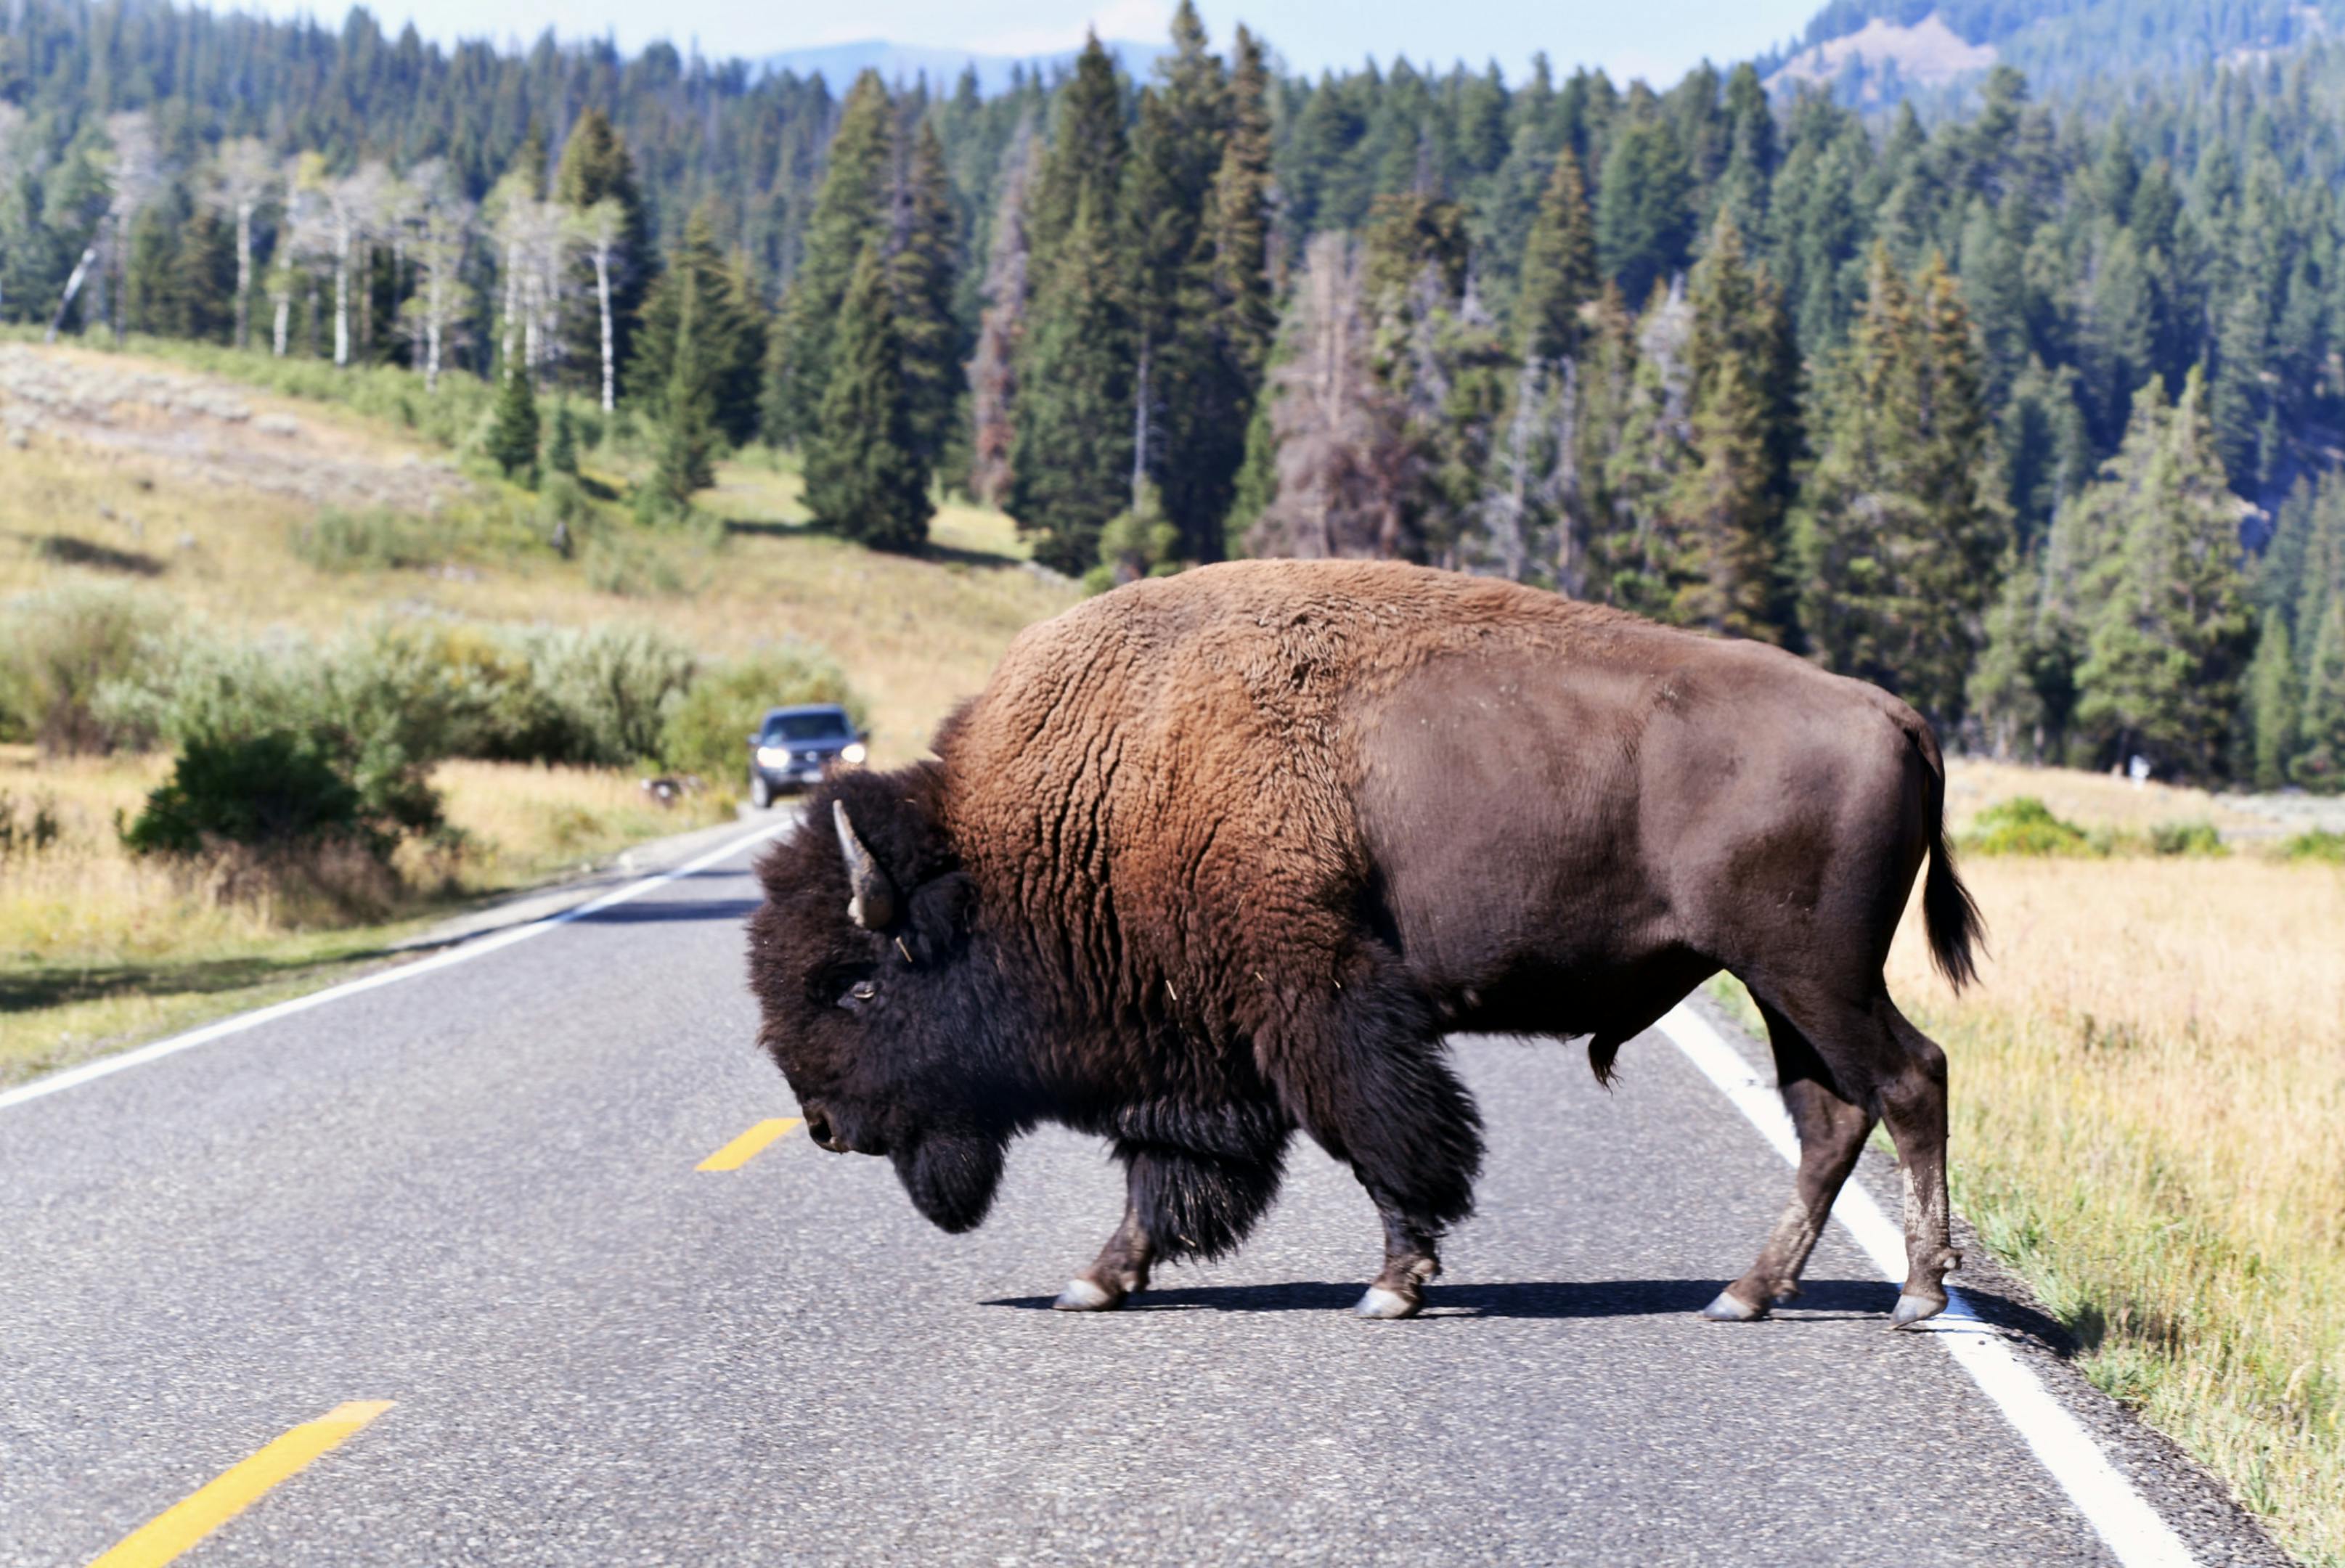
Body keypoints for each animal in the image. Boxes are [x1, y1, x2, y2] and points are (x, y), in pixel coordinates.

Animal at [747, 560, 1980, 1326]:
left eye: (856, 987)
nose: (822, 1126)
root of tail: (1890, 713)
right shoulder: (1197, 1050)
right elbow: (1166, 1172)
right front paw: (1098, 1280)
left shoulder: (1315, 1004)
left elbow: (1385, 1141)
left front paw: (1394, 1285)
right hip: (1778, 986)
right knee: (1832, 1117)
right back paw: (1745, 1293)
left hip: (1810, 975)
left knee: (1908, 1079)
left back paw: (1917, 1294)